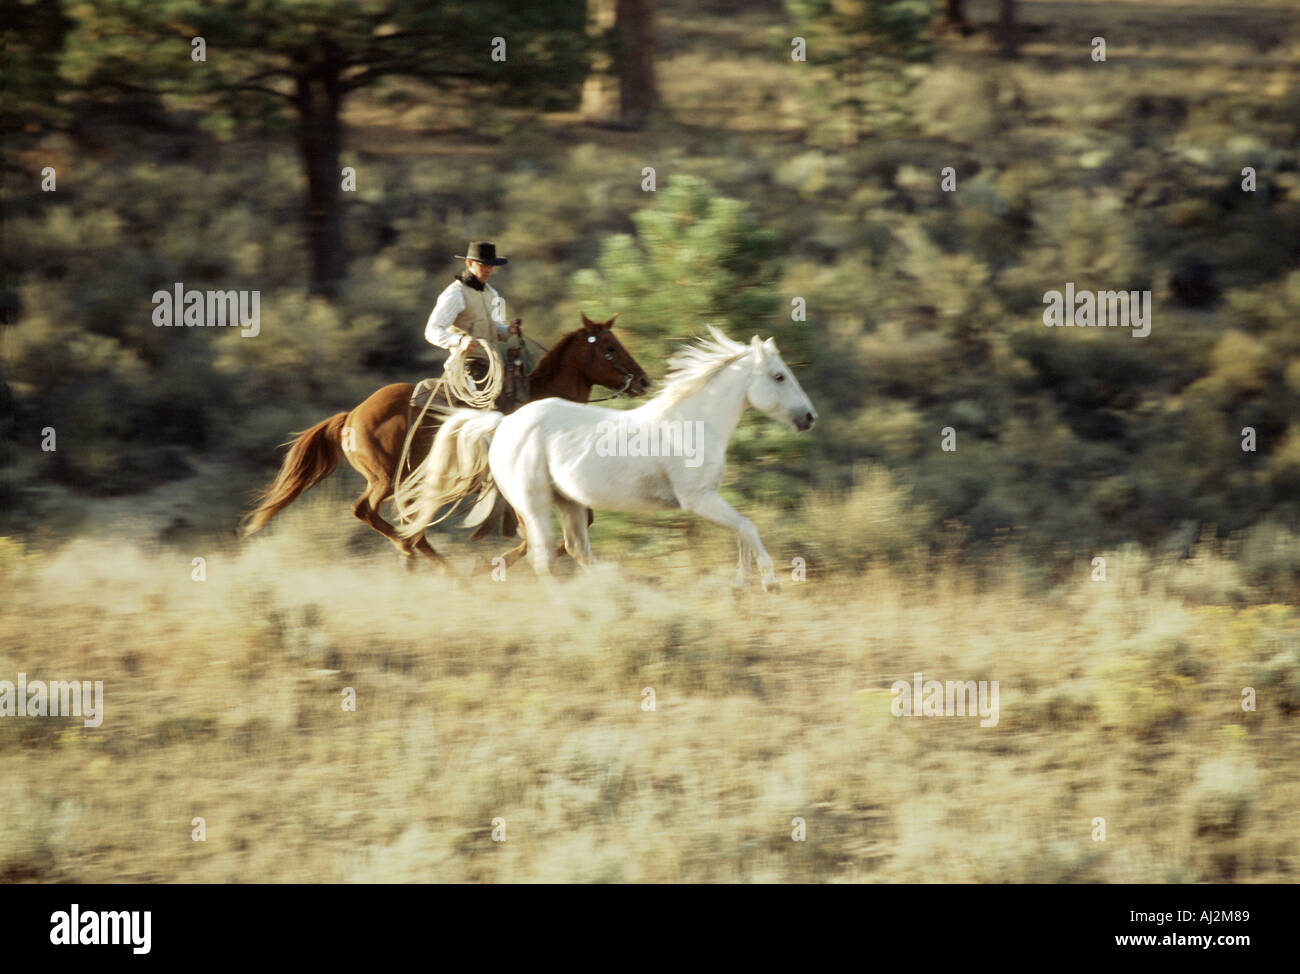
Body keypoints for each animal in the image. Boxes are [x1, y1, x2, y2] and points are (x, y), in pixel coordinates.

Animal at [238, 313, 650, 570]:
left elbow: (575, 526)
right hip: (385, 478)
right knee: (367, 511)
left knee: (407, 524)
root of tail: (350, 417)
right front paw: (487, 565)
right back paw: (421, 555)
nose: (643, 380)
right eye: (610, 348)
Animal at [395, 327, 816, 591]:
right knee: (543, 558)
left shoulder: (710, 498)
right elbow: (748, 527)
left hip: (570, 504)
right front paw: (770, 583)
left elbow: (741, 531)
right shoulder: (698, 499)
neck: (692, 422)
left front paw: (742, 585)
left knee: (577, 551)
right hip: (533, 505)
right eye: (779, 376)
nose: (809, 417)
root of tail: (503, 422)